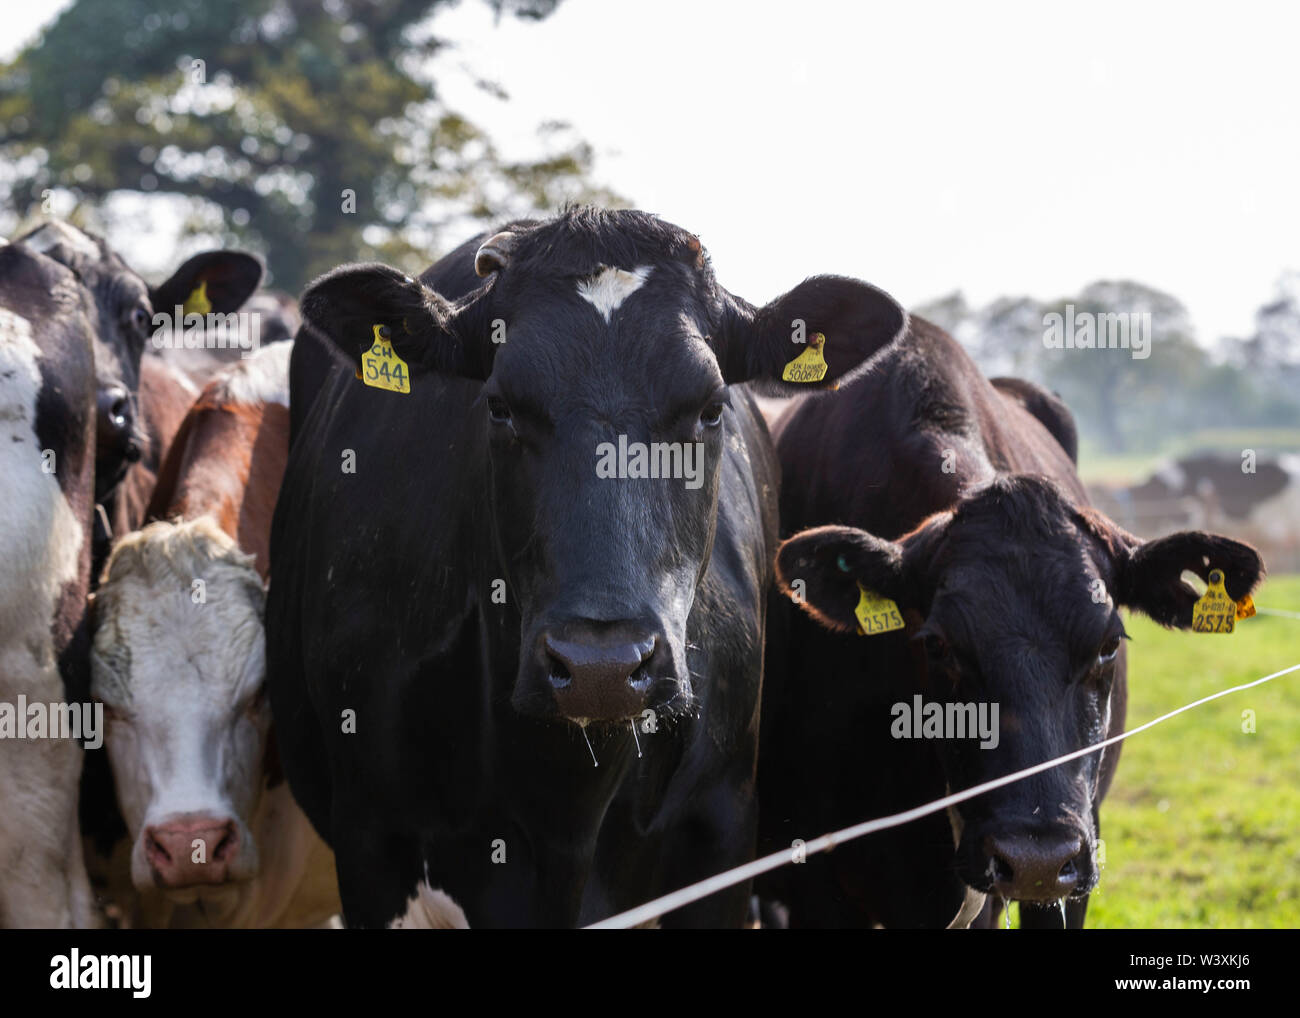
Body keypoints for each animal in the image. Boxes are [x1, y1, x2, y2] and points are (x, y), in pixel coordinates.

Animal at [266, 206, 911, 927]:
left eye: (711, 408)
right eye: (499, 406)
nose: (600, 667)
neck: (564, 812)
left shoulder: (722, 831)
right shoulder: (371, 840)